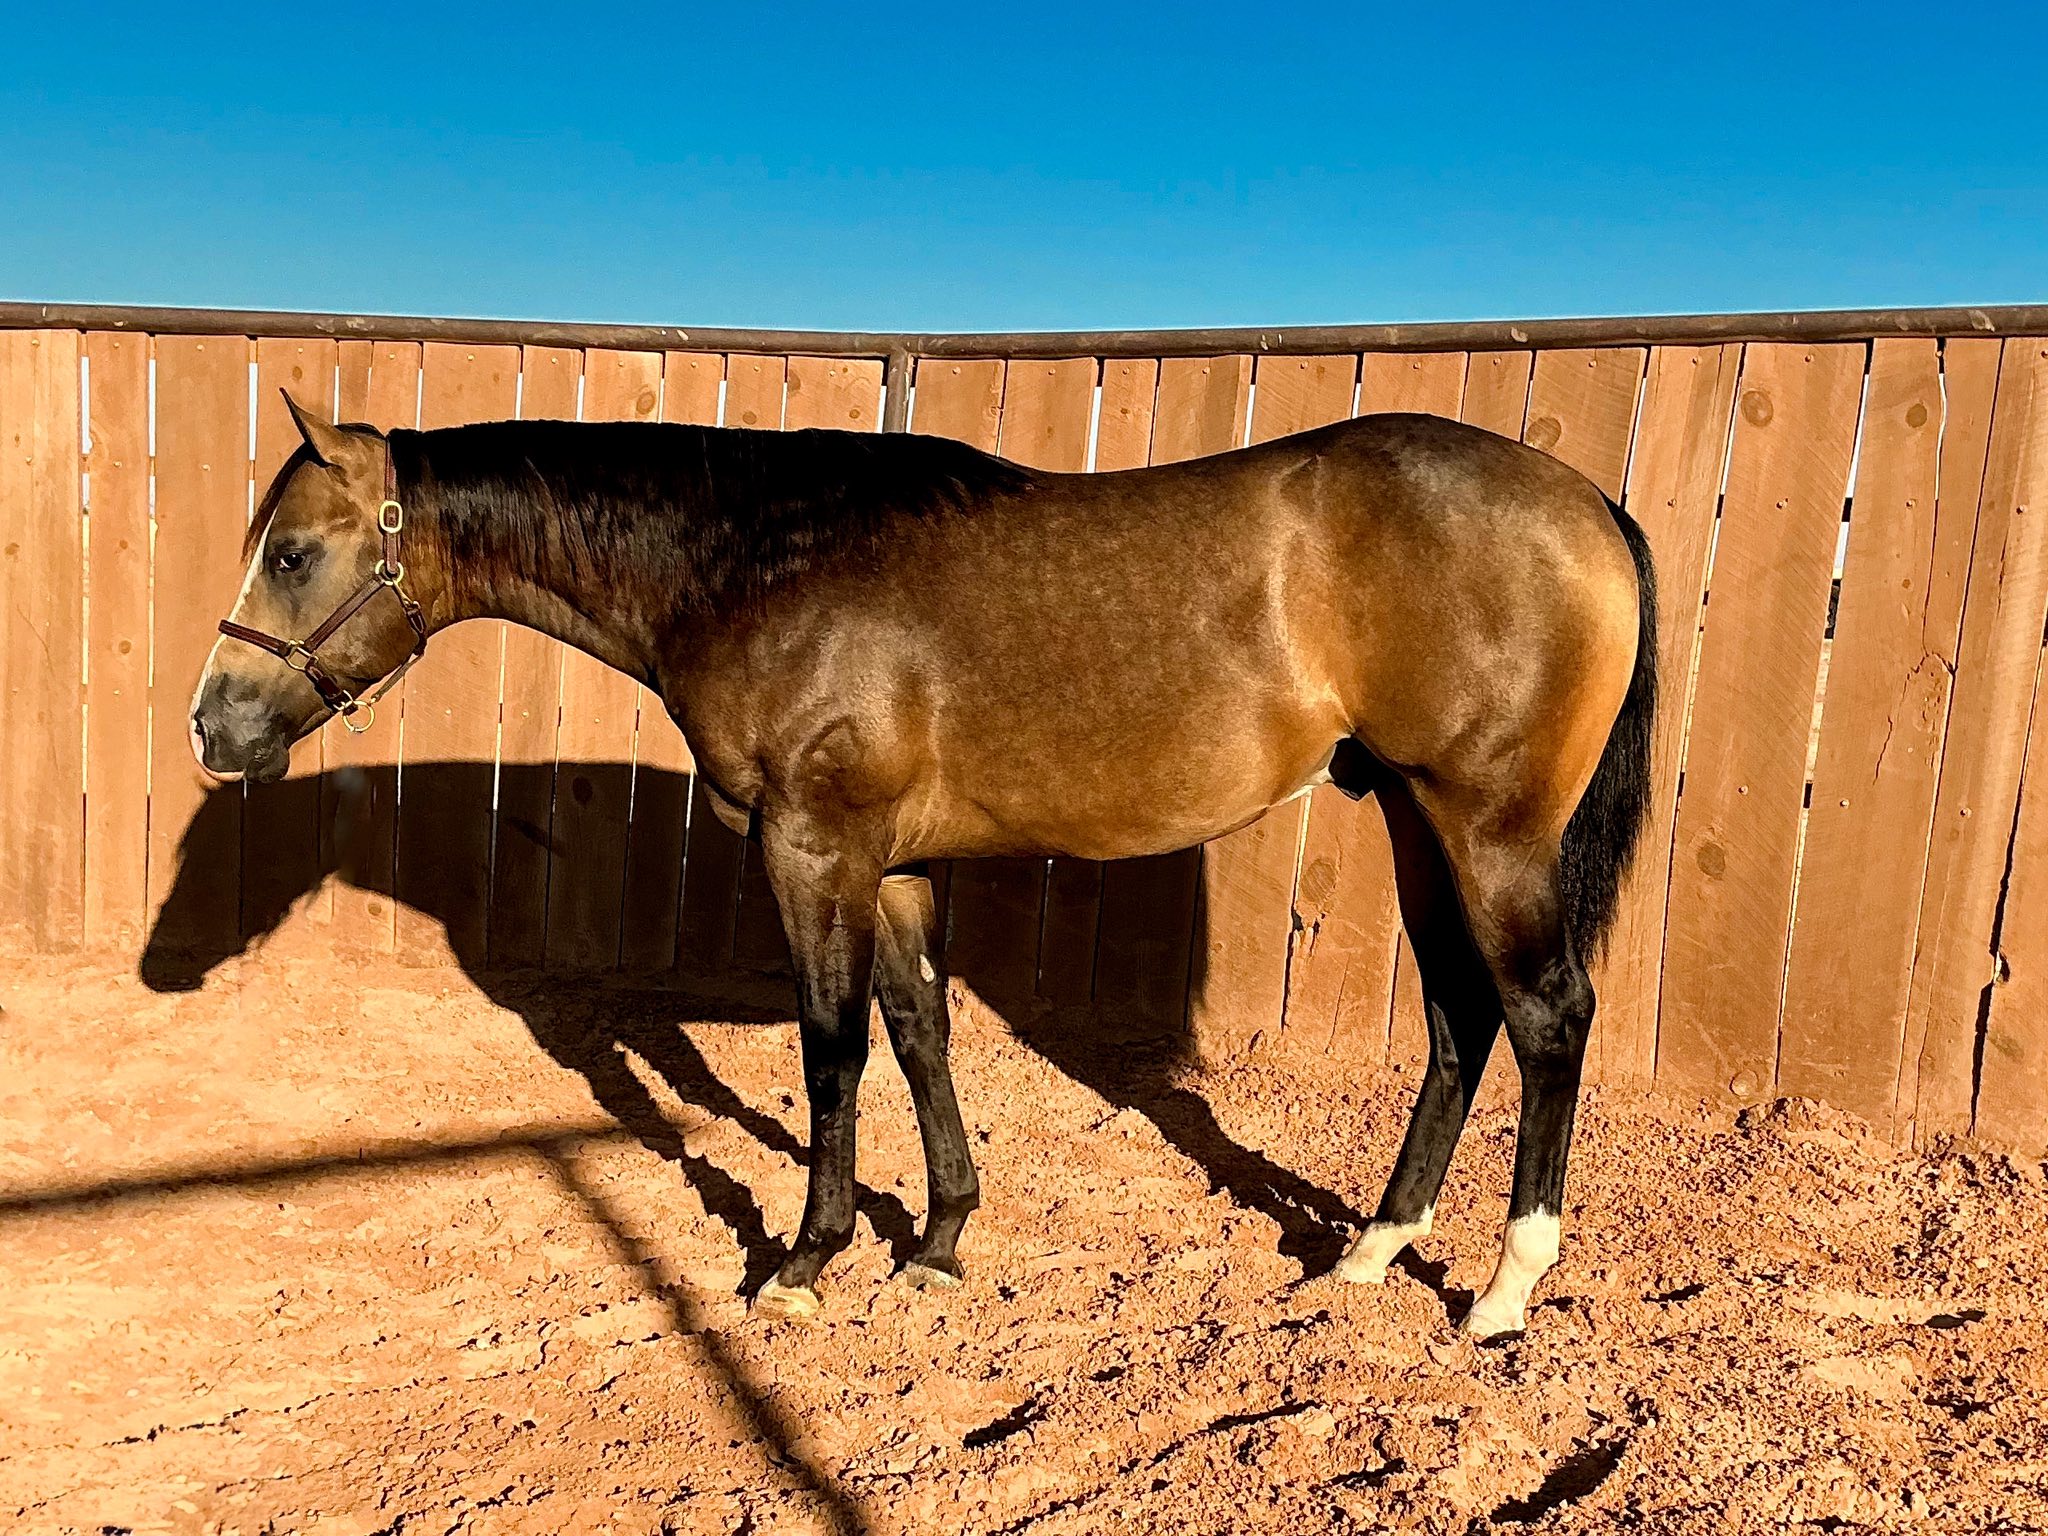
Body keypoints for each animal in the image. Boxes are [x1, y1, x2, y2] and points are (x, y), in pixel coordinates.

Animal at [190, 390, 1655, 1340]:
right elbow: (919, 1032)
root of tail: (1585, 503)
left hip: (1489, 827)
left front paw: (803, 1262)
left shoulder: (809, 850)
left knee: (1547, 1015)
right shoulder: (892, 869)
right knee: (1461, 1019)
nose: (214, 725)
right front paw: (940, 1243)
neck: (752, 565)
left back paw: (1505, 1290)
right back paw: (1371, 1253)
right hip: (1414, 817)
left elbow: (832, 1049)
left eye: (295, 552)